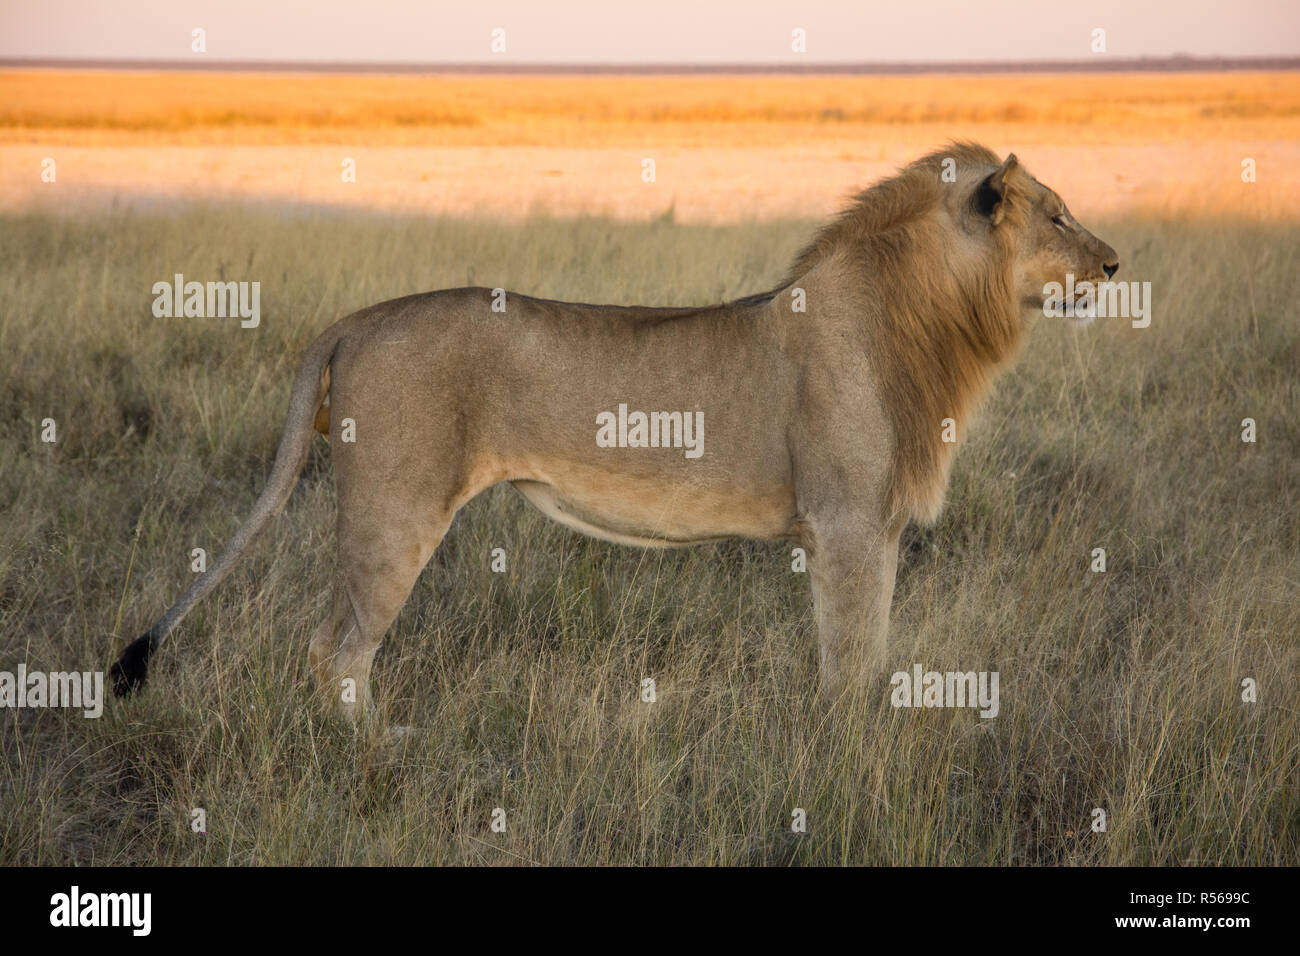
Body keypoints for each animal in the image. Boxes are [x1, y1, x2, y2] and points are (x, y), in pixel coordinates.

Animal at [111, 143, 1119, 722]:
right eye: (1059, 214)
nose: (1115, 262)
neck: (938, 321)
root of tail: (353, 320)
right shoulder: (848, 527)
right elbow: (853, 665)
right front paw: (851, 758)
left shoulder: (866, 532)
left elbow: (861, 657)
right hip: (392, 513)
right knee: (338, 653)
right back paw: (378, 751)